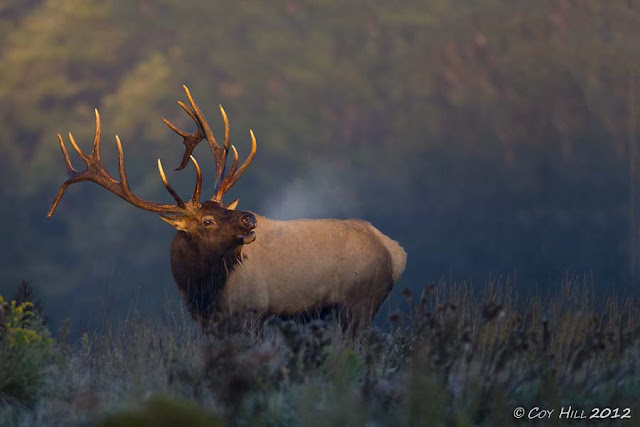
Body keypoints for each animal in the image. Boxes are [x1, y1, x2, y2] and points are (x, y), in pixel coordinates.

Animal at [47, 86, 407, 330]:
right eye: (207, 219)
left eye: (223, 210)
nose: (248, 218)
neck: (204, 291)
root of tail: (395, 251)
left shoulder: (253, 311)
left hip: (359, 303)